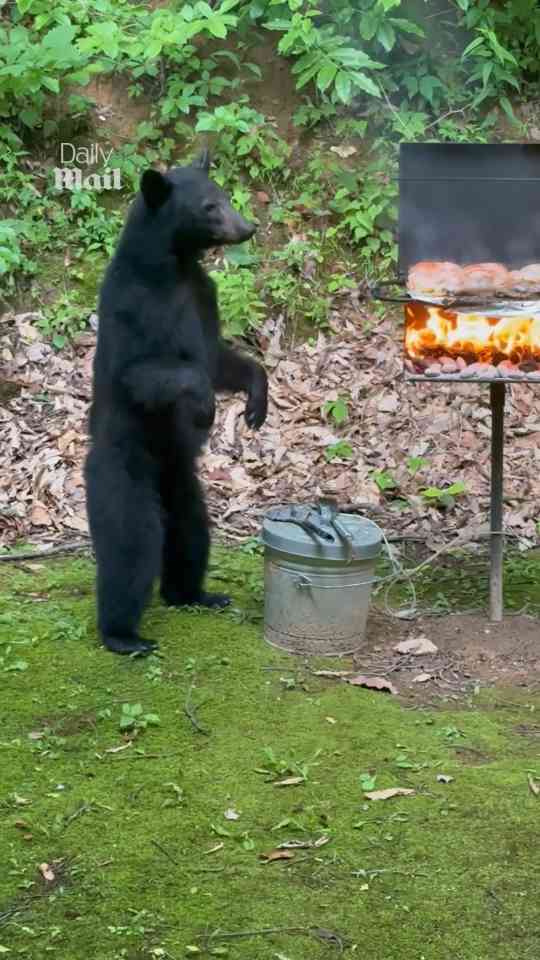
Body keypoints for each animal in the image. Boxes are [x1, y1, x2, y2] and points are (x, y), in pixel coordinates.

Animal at [84, 152, 268, 655]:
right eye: (209, 206)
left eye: (224, 195)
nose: (248, 227)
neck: (172, 268)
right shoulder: (134, 307)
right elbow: (142, 371)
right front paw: (204, 403)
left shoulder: (203, 296)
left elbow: (219, 357)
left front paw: (257, 402)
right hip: (123, 467)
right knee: (130, 543)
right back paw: (123, 633)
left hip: (181, 482)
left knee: (190, 531)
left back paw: (194, 593)